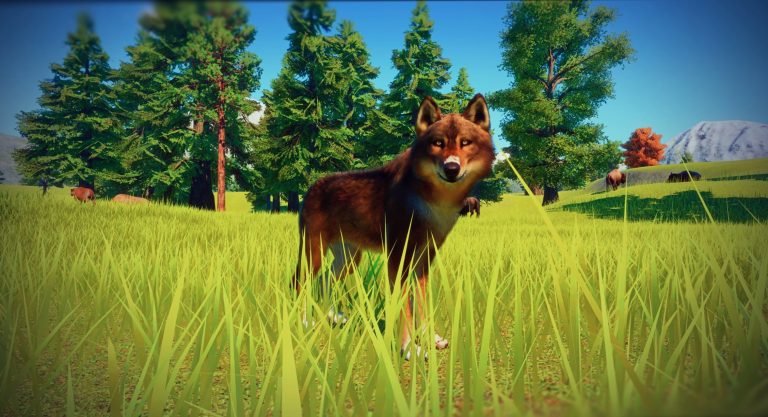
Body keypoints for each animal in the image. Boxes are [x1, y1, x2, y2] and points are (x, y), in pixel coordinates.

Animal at [294, 94, 495, 359]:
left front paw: (430, 339)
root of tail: (311, 187)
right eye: (438, 143)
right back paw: (303, 323)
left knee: (324, 280)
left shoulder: (424, 260)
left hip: (348, 261)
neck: (433, 202)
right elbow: (403, 308)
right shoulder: (397, 260)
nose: (451, 168)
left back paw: (334, 317)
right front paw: (409, 349)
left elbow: (421, 304)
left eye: (465, 143)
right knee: (299, 282)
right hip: (314, 256)